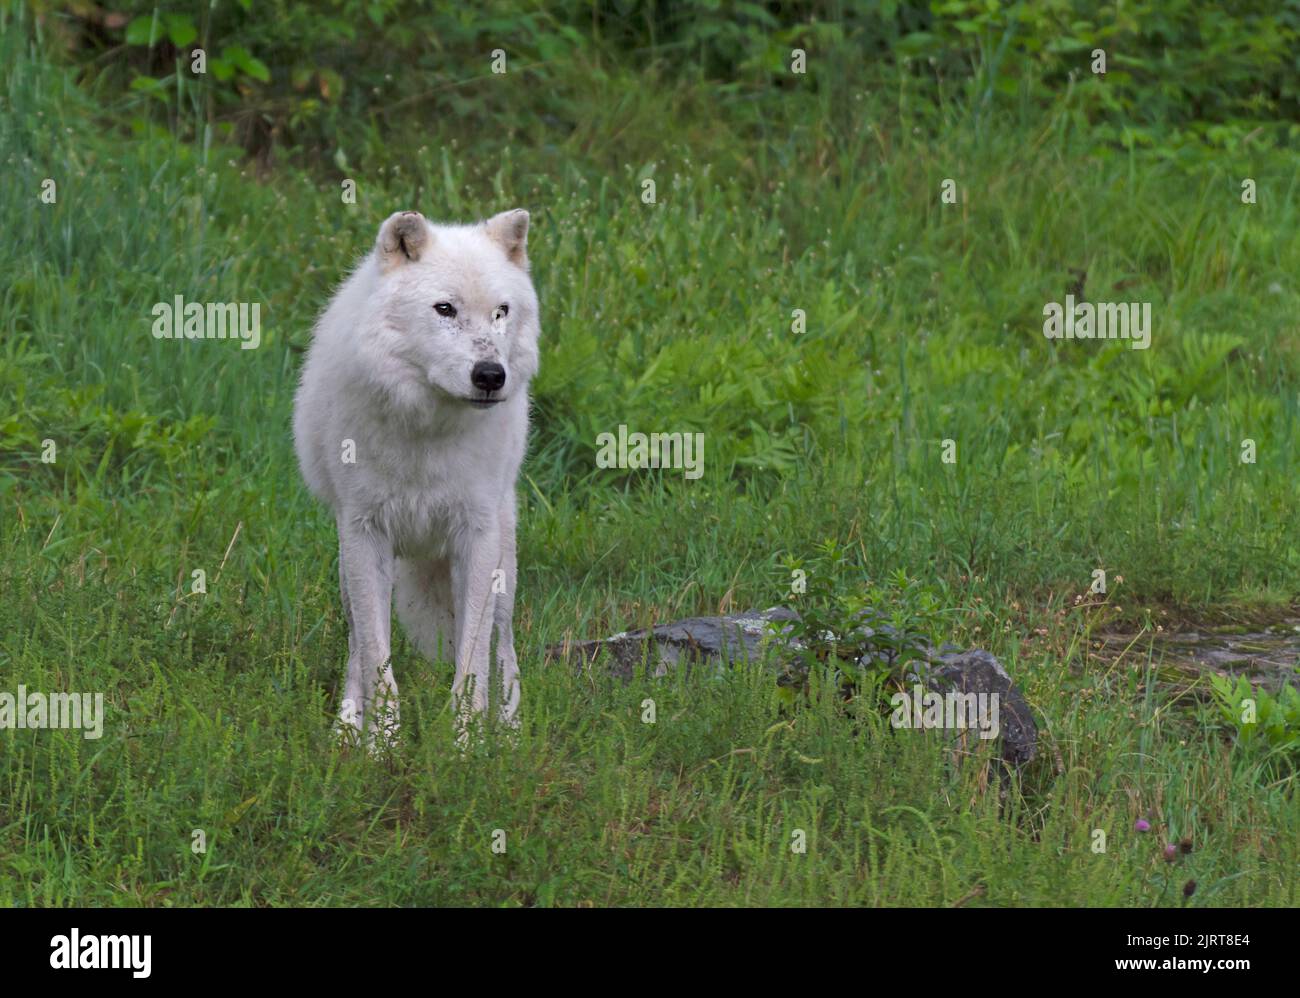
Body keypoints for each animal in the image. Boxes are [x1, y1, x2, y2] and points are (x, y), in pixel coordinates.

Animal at [293, 208, 539, 743]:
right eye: (444, 309)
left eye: (501, 312)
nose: (490, 376)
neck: (427, 431)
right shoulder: (365, 533)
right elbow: (376, 660)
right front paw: (381, 744)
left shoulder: (477, 535)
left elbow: (472, 663)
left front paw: (466, 746)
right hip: (349, 567)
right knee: (356, 646)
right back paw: (346, 728)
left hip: (504, 569)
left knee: (505, 651)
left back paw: (511, 735)